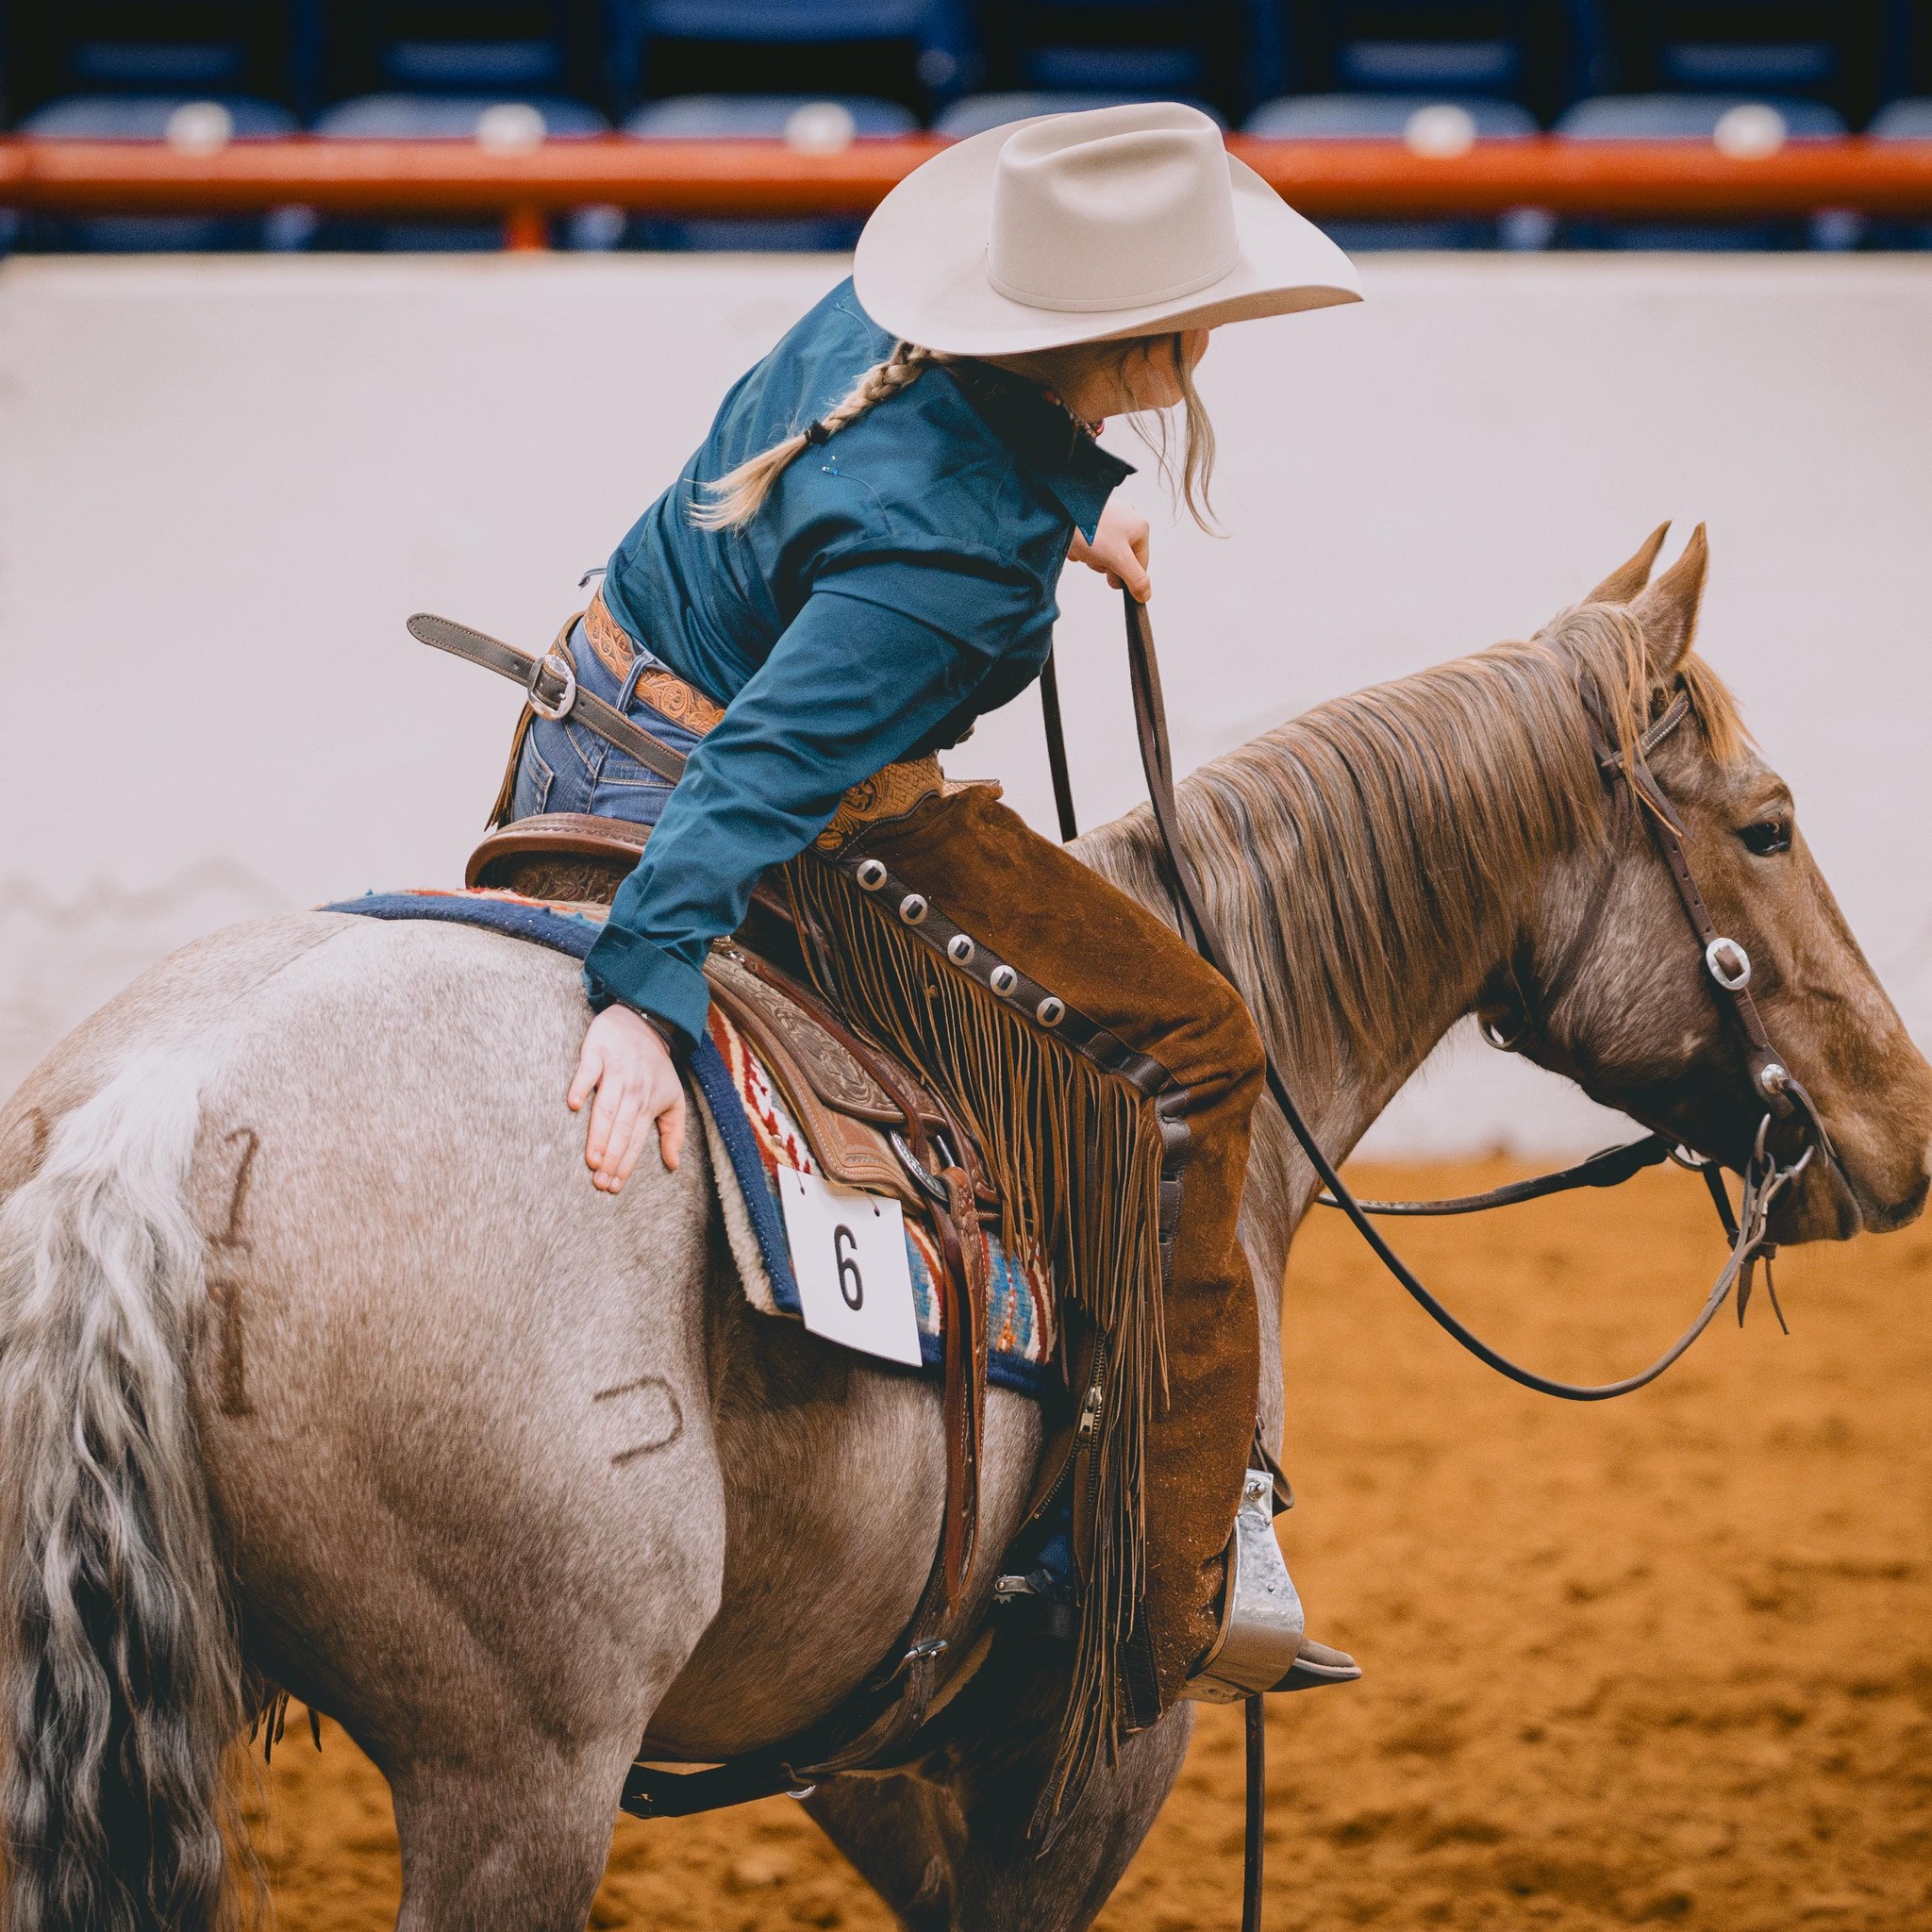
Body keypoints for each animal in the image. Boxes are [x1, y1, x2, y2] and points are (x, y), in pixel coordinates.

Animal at [3, 526, 1927, 1932]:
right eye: (1767, 826)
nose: (1899, 1129)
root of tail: (151, 1122)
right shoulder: (1082, 1758)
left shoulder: (878, 1737)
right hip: (518, 1775)